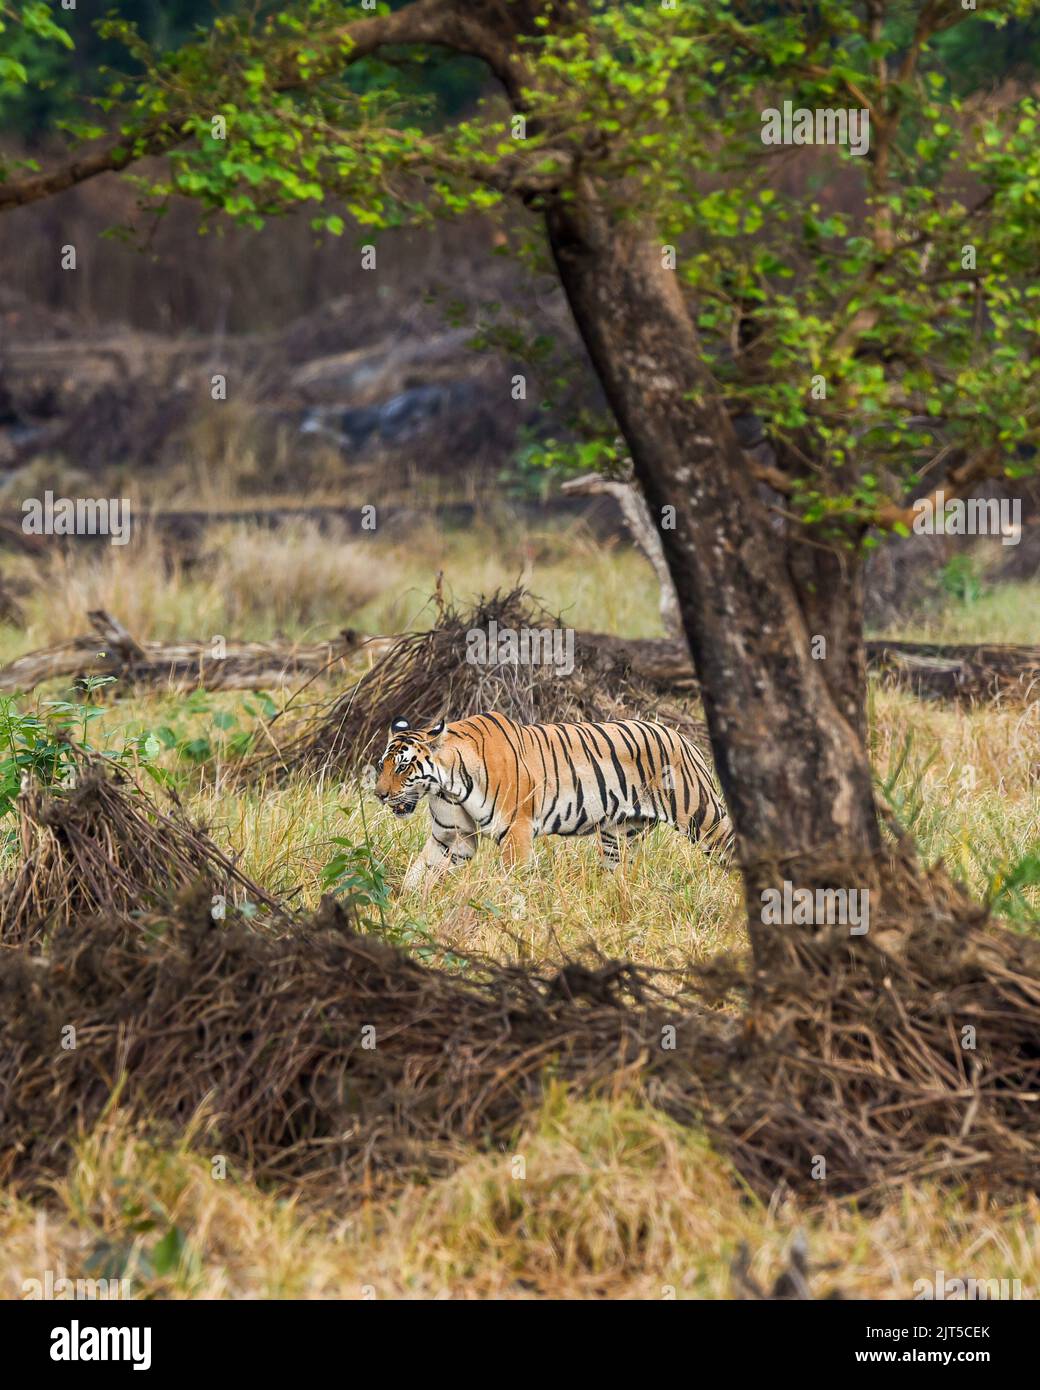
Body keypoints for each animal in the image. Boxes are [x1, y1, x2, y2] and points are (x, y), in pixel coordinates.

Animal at [372, 710, 734, 891]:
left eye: (403, 766)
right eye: (382, 764)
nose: (379, 794)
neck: (447, 785)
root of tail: (681, 735)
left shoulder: (515, 831)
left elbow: (512, 883)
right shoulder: (452, 838)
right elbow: (418, 874)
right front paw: (404, 908)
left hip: (703, 817)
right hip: (619, 836)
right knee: (616, 875)